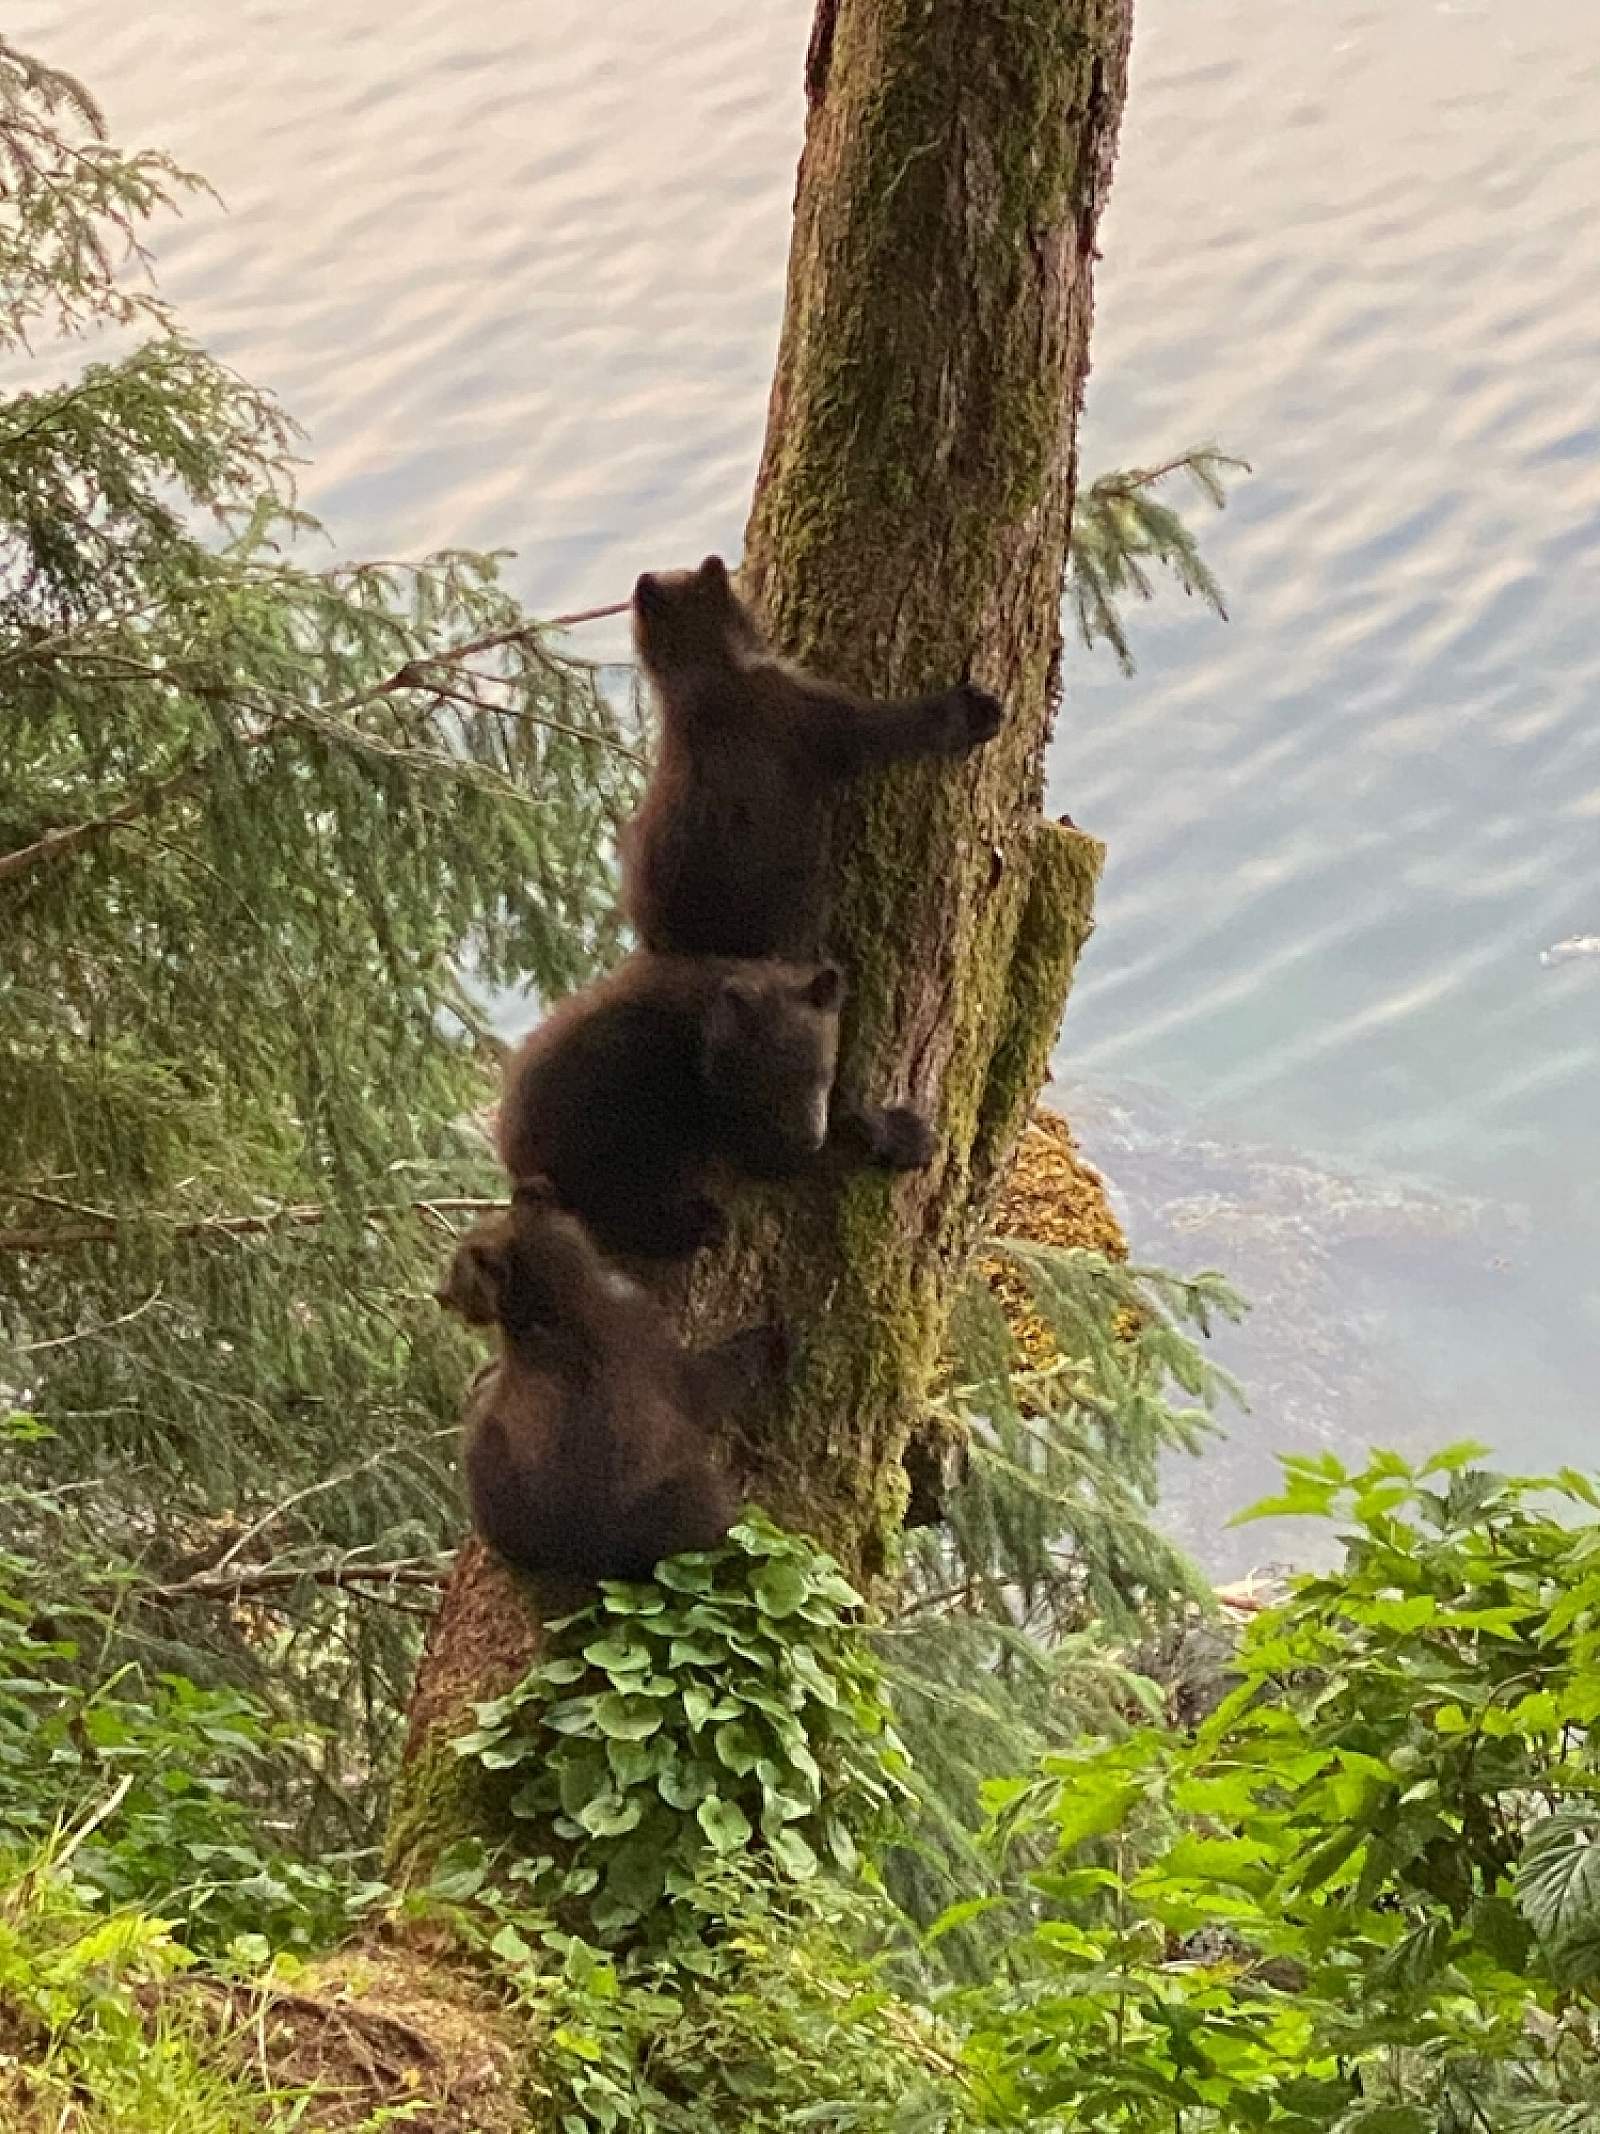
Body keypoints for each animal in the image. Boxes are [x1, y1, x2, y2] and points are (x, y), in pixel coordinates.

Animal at [436, 1185, 783, 1582]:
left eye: (456, 1266)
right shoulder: (641, 1341)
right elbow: (702, 1384)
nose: (441, 1294)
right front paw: (766, 1338)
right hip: (655, 1495)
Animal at [497, 951, 934, 1262]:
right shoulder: (687, 1093)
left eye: (821, 1073)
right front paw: (897, 1131)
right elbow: (761, 1157)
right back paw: (692, 1224)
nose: (810, 1136)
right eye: (772, 1082)